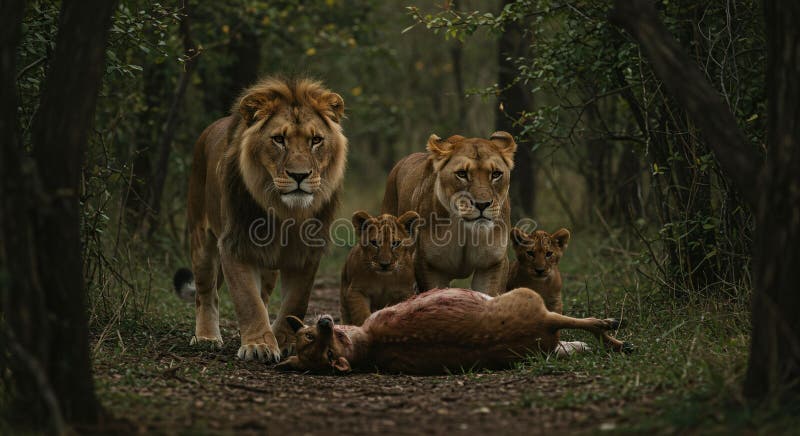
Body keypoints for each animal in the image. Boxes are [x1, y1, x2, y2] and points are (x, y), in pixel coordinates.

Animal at [178, 77, 346, 362]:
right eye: (279, 139)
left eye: (316, 140)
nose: (299, 175)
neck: (286, 213)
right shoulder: (235, 244)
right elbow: (248, 300)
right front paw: (259, 345)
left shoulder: (306, 253)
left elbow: (295, 302)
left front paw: (285, 340)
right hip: (201, 239)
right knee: (206, 294)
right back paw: (207, 338)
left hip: (268, 266)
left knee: (264, 295)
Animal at [381, 132, 516, 295]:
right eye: (462, 174)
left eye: (496, 174)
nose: (482, 204)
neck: (465, 230)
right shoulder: (428, 265)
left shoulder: (493, 264)